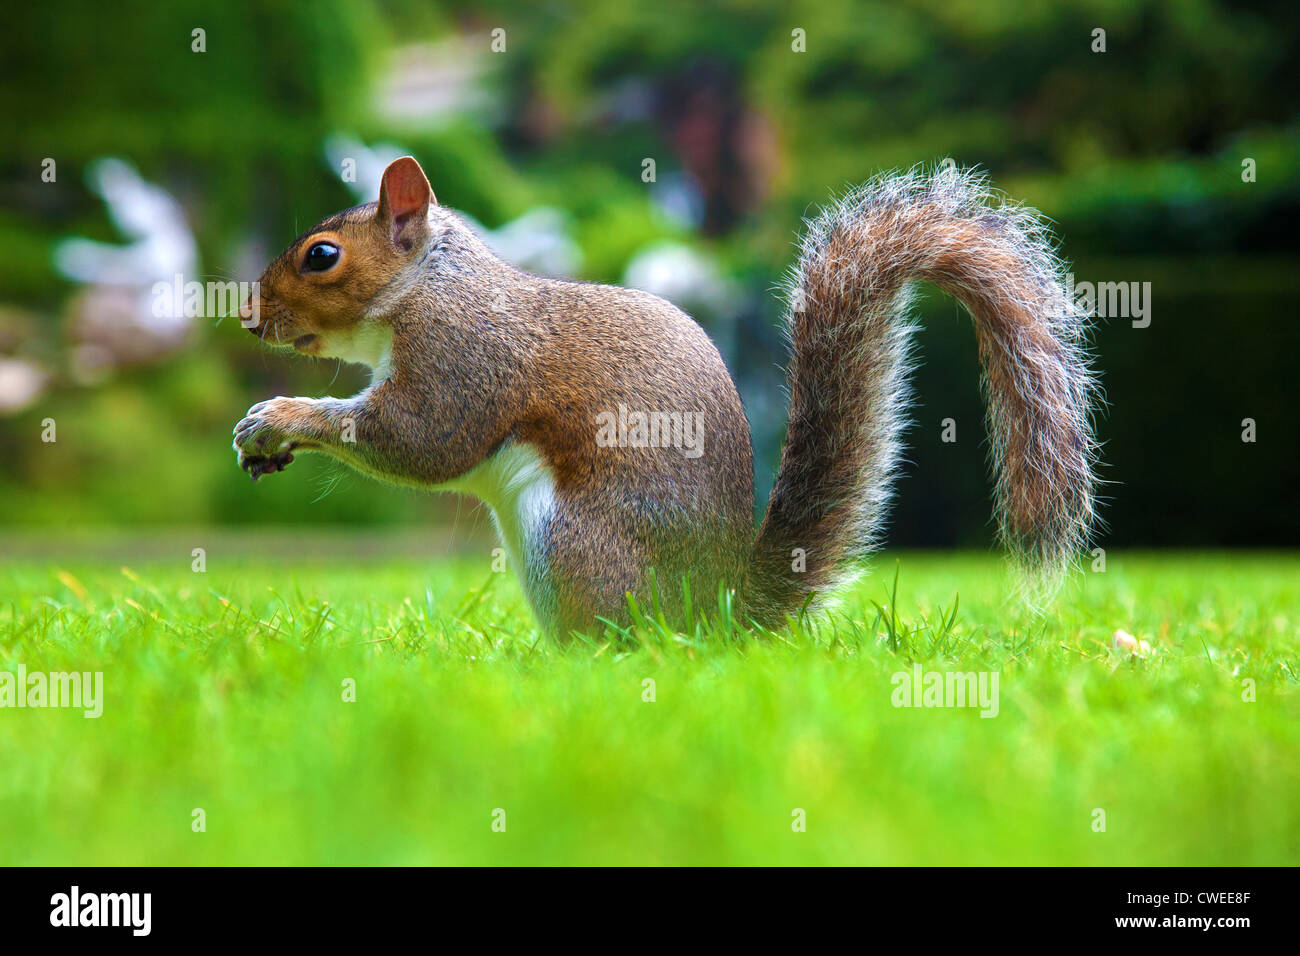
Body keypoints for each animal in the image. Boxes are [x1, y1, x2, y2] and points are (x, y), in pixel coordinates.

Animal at [234, 156, 1097, 637]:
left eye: (321, 256)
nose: (247, 316)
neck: (428, 285)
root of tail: (716, 609)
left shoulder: (462, 358)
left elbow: (421, 441)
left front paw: (279, 419)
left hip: (573, 544)